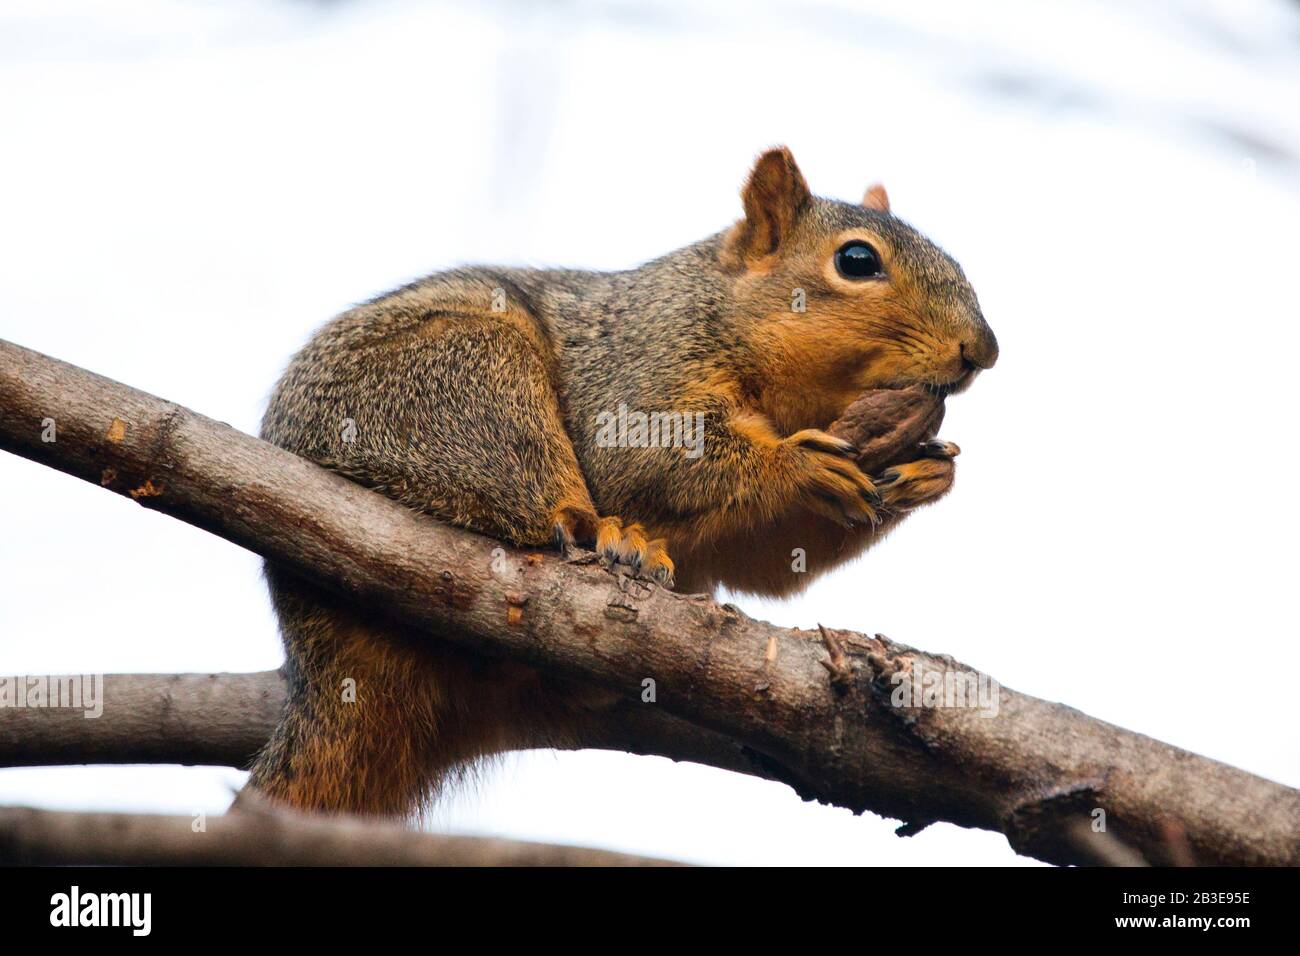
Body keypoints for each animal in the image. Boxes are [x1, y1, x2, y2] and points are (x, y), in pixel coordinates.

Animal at [247, 147, 998, 815]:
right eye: (856, 261)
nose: (983, 351)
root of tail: (311, 642)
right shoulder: (634, 382)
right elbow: (657, 462)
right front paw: (795, 466)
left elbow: (767, 562)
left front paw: (926, 471)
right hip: (464, 385)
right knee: (532, 512)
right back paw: (608, 537)